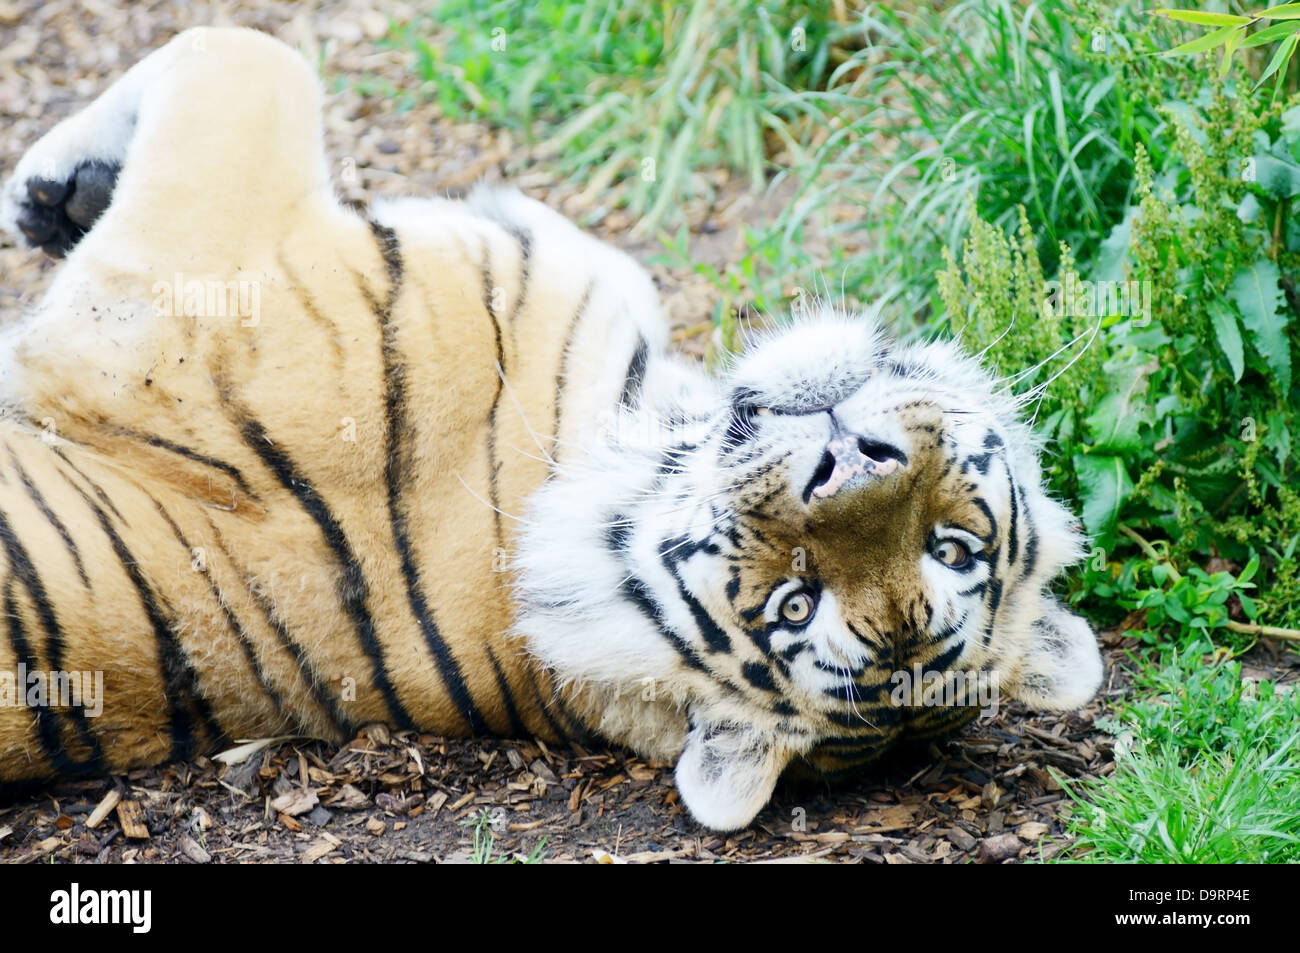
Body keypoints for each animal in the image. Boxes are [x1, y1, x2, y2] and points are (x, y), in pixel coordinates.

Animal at [0, 27, 1102, 831]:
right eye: (950, 547)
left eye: (796, 603)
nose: (848, 459)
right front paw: (62, 191)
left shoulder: (162, 289)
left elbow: (242, 49)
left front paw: (49, 186)